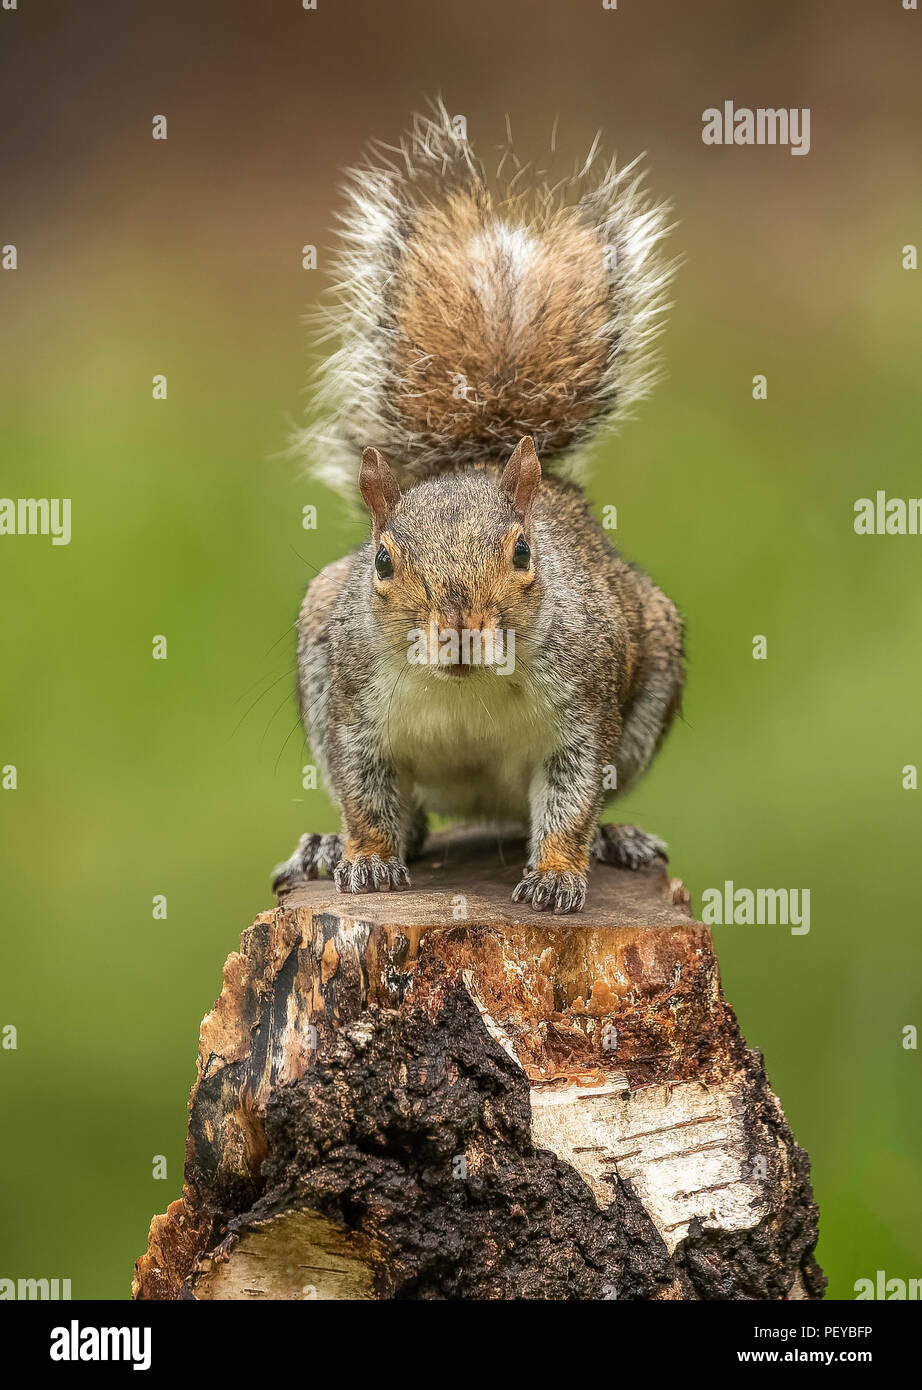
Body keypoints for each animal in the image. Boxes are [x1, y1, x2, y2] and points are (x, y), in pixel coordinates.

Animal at [273, 105, 685, 915]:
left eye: (523, 552)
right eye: (382, 561)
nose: (460, 631)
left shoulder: (585, 708)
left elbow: (571, 797)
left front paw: (557, 874)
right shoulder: (352, 709)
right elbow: (365, 796)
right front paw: (367, 859)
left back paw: (615, 839)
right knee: (410, 817)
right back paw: (329, 847)